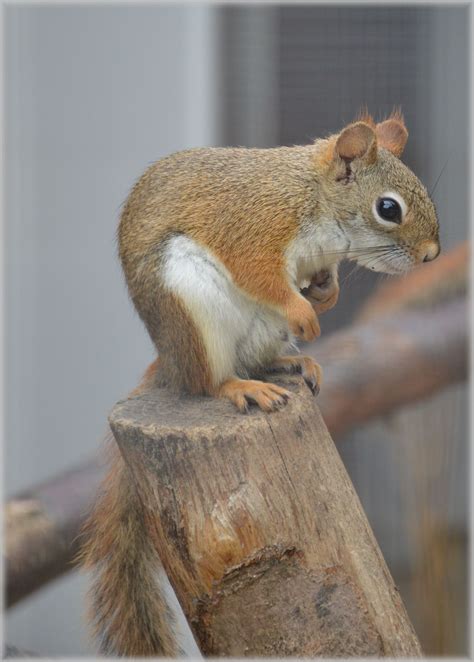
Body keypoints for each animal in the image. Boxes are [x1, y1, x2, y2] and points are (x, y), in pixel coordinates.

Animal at [78, 111, 440, 656]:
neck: (314, 199)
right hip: (192, 305)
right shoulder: (253, 228)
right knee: (209, 380)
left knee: (255, 358)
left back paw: (290, 365)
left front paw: (325, 295)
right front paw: (304, 312)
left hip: (258, 330)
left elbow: (321, 281)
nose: (432, 255)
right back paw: (239, 387)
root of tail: (171, 360)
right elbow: (260, 274)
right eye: (388, 208)